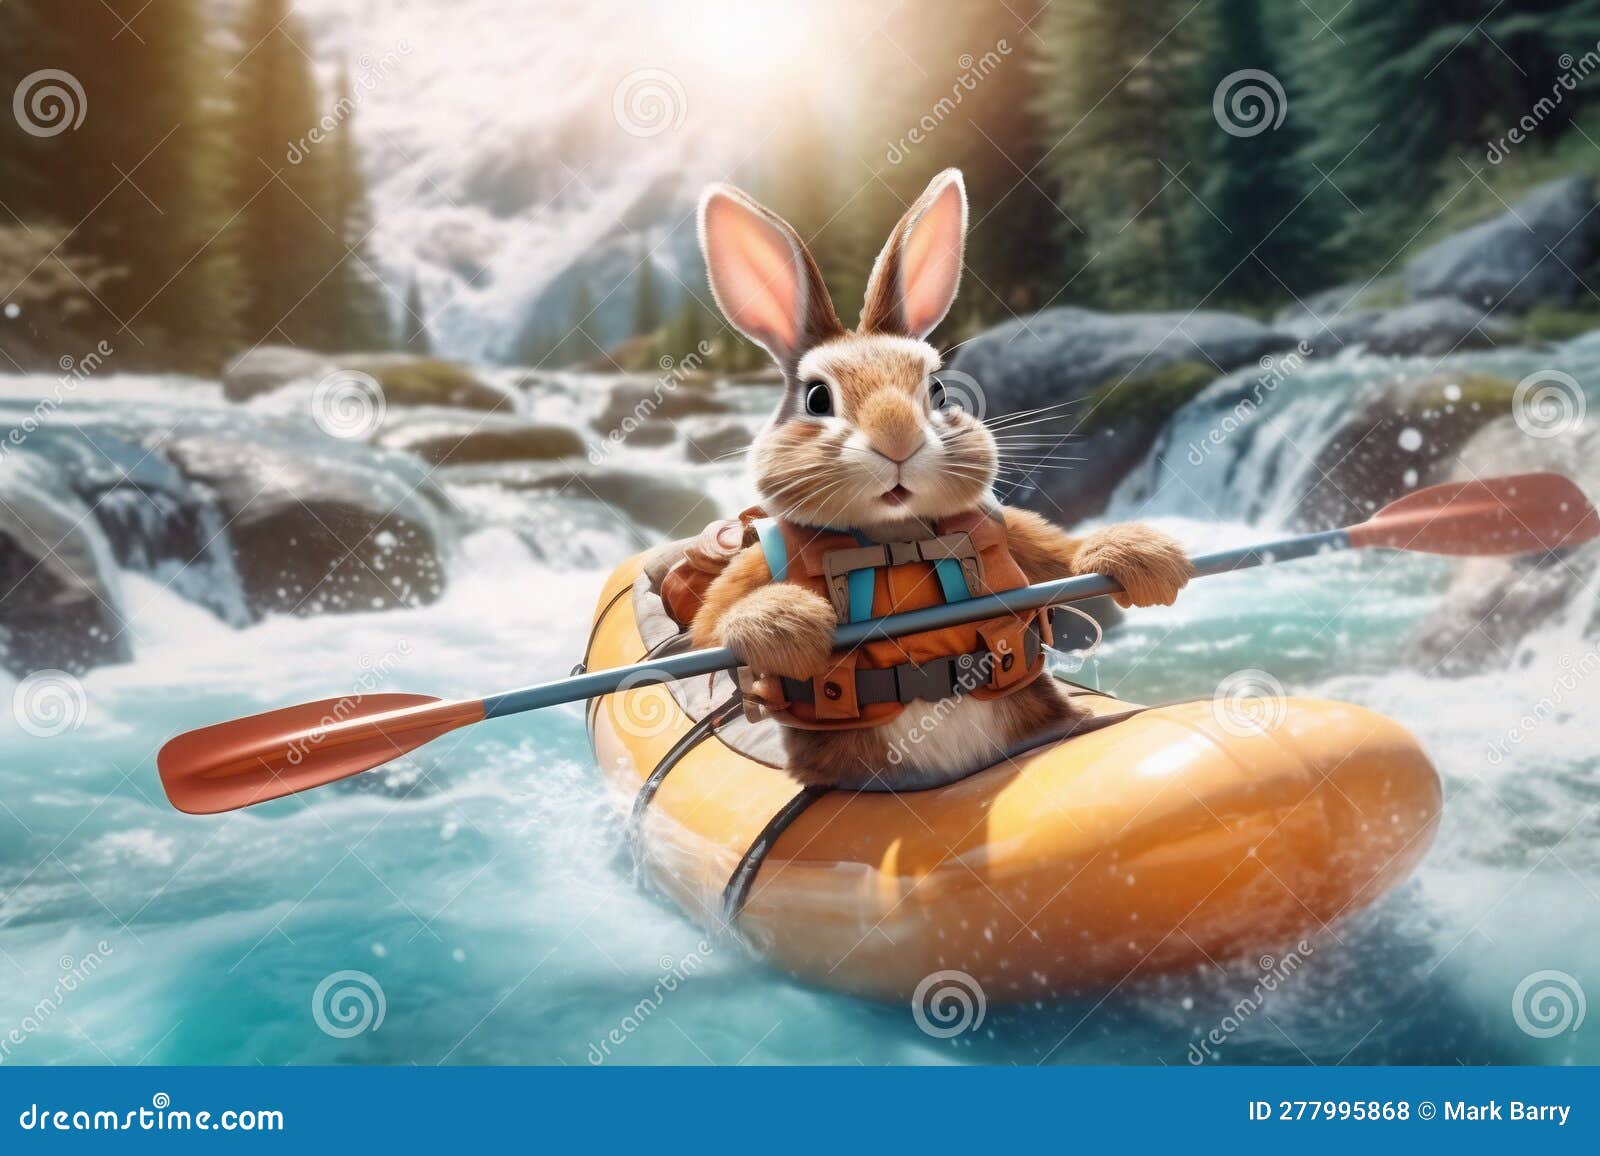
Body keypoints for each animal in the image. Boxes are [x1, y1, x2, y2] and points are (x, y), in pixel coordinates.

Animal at [689, 168, 1192, 791]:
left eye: (936, 391)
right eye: (817, 398)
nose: (898, 441)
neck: (895, 534)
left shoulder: (1004, 528)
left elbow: (1062, 558)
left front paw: (1143, 557)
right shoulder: (753, 570)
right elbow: (708, 636)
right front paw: (787, 623)